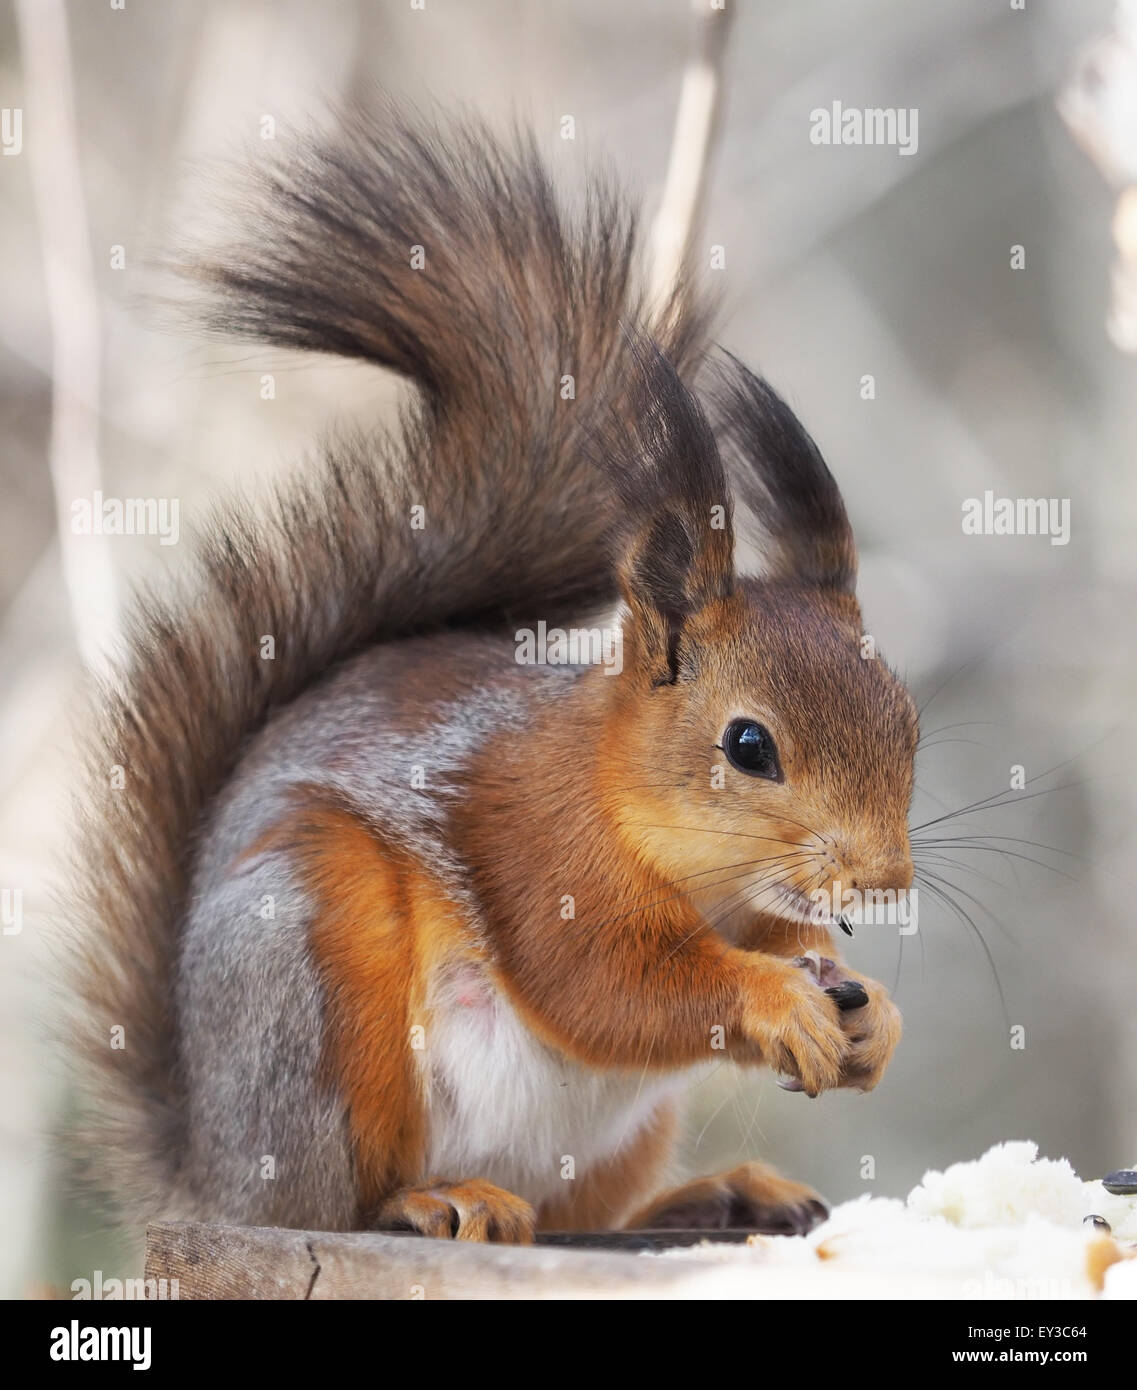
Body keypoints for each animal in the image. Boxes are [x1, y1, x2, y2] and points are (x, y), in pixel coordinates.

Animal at [68, 108, 917, 1244]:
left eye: (908, 719)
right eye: (749, 746)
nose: (884, 878)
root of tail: (210, 1178)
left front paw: (872, 1013)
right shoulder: (537, 846)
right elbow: (608, 986)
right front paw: (775, 1000)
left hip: (610, 1141)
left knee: (589, 1213)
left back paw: (719, 1191)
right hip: (309, 984)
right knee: (332, 1203)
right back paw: (436, 1199)